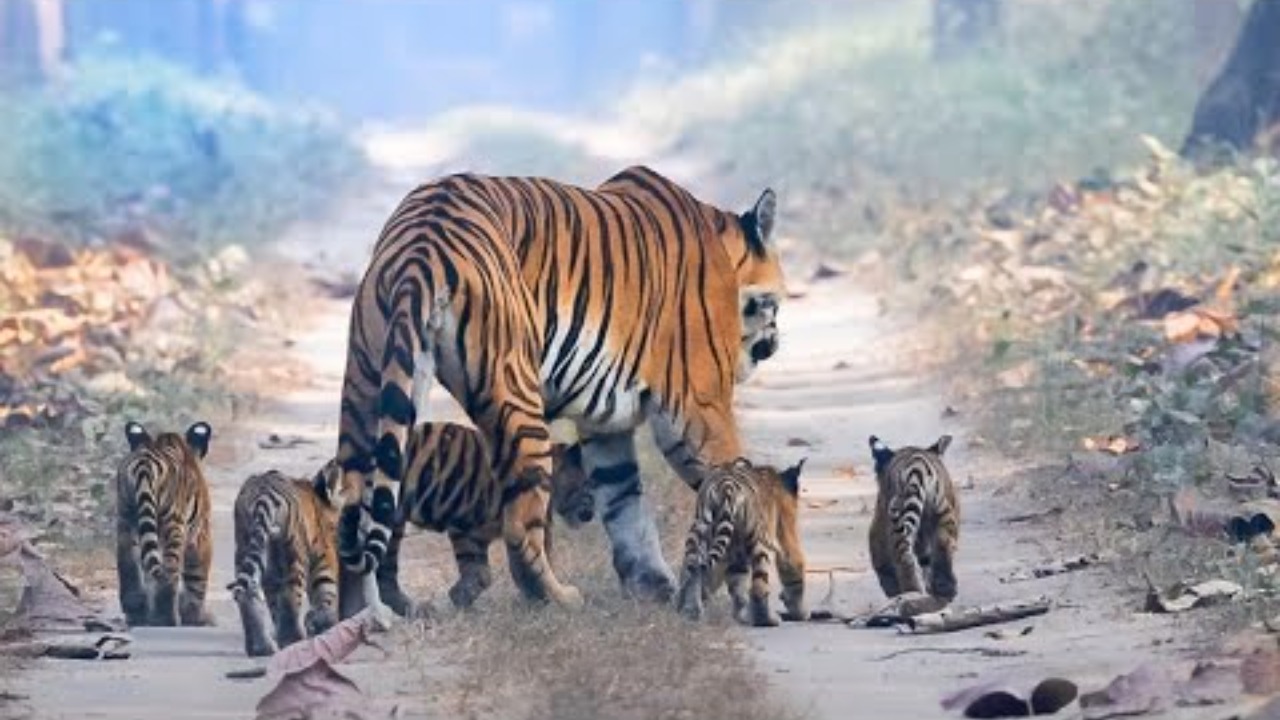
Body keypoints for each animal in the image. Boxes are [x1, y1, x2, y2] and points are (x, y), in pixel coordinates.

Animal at [115, 421, 215, 627]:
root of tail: (145, 463)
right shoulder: (201, 535)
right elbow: (197, 578)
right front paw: (196, 617)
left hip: (126, 517)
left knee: (127, 563)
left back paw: (136, 613)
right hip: (173, 525)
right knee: (169, 572)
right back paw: (167, 619)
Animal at [228, 461, 345, 657]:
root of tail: (263, 492)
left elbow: (275, 604)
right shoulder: (324, 556)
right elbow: (327, 590)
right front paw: (324, 623)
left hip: (246, 546)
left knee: (248, 595)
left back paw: (261, 648)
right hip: (294, 554)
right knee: (290, 596)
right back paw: (294, 640)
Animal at [372, 422, 594, 616]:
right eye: (589, 486)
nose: (592, 513)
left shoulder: (496, 533)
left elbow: (499, 569)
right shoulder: (464, 526)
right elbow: (503, 570)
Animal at [675, 457, 807, 627]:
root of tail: (726, 486)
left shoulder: (736, 552)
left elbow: (736, 581)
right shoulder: (785, 532)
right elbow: (793, 563)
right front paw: (801, 612)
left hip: (699, 528)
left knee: (693, 568)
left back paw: (692, 610)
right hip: (758, 543)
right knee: (758, 587)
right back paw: (766, 620)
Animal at [868, 435, 960, 613]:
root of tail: (916, 462)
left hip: (900, 521)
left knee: (904, 556)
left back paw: (911, 595)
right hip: (944, 516)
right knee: (940, 548)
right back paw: (938, 592)